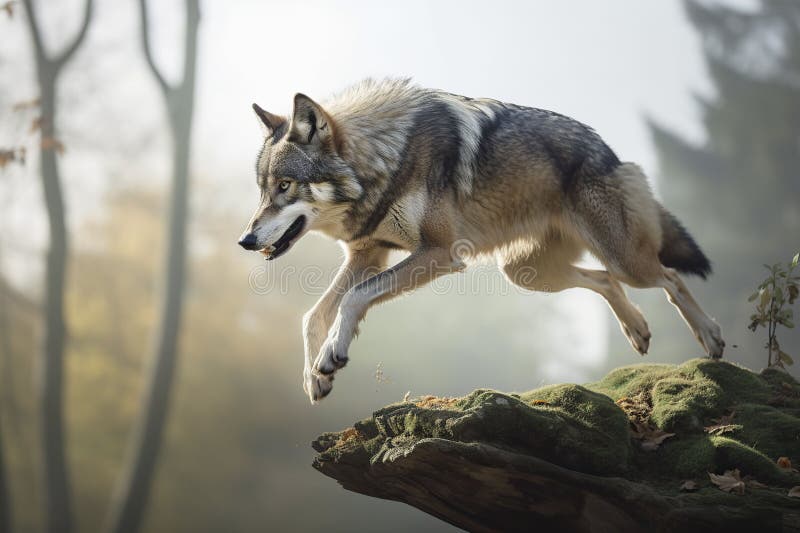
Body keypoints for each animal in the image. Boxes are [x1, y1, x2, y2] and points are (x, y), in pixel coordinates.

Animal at [238, 78, 724, 403]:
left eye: (285, 186)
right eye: (262, 189)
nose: (245, 240)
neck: (387, 159)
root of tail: (612, 152)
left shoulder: (438, 253)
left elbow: (355, 298)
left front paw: (331, 356)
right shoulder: (369, 254)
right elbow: (314, 315)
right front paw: (314, 376)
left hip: (622, 259)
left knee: (669, 278)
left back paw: (711, 337)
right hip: (526, 274)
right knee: (606, 281)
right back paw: (637, 329)